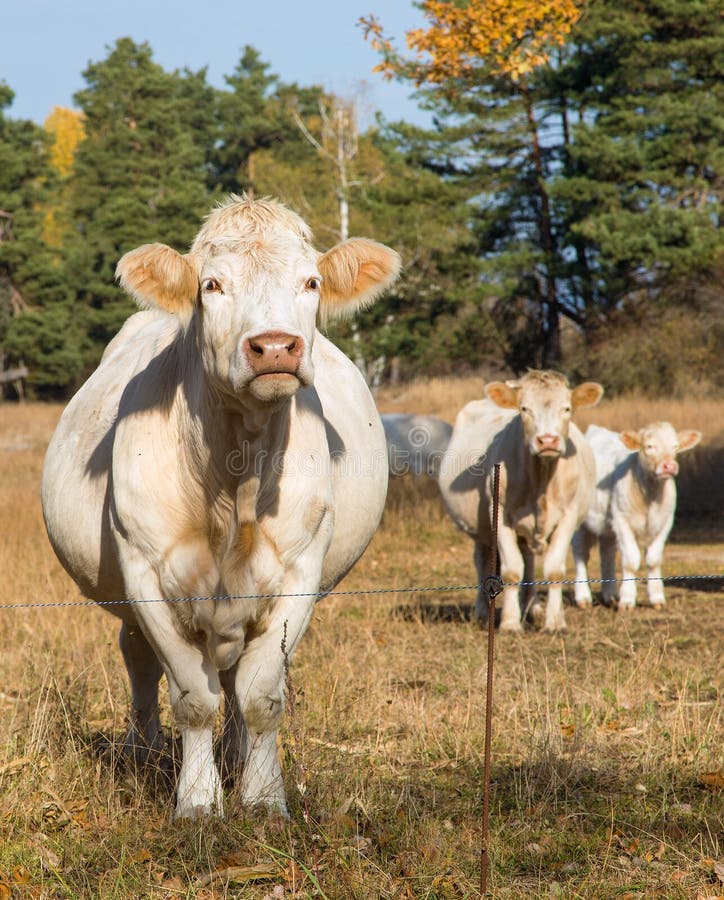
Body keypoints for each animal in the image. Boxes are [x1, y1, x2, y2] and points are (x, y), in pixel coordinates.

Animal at [41, 194, 401, 819]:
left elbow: (259, 696)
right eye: (212, 284)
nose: (276, 346)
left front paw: (262, 798)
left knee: (234, 677)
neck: (236, 480)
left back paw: (235, 755)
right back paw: (144, 750)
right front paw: (198, 803)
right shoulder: (145, 572)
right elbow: (193, 698)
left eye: (310, 282)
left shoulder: (298, 575)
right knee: (139, 658)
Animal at [439, 370, 603, 632]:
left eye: (566, 408)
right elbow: (512, 570)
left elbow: (553, 569)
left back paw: (533, 607)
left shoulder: (568, 516)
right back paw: (483, 612)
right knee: (482, 562)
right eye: (524, 409)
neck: (541, 478)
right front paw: (510, 623)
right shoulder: (499, 515)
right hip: (480, 529)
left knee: (529, 560)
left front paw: (554, 622)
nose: (547, 441)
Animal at [572, 422, 702, 610]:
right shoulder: (622, 521)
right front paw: (627, 600)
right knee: (580, 553)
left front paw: (657, 598)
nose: (669, 466)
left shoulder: (664, 523)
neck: (650, 496)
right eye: (649, 446)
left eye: (675, 446)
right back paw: (583, 597)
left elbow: (653, 560)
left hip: (606, 523)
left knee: (607, 552)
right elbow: (631, 560)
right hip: (579, 519)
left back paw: (610, 596)